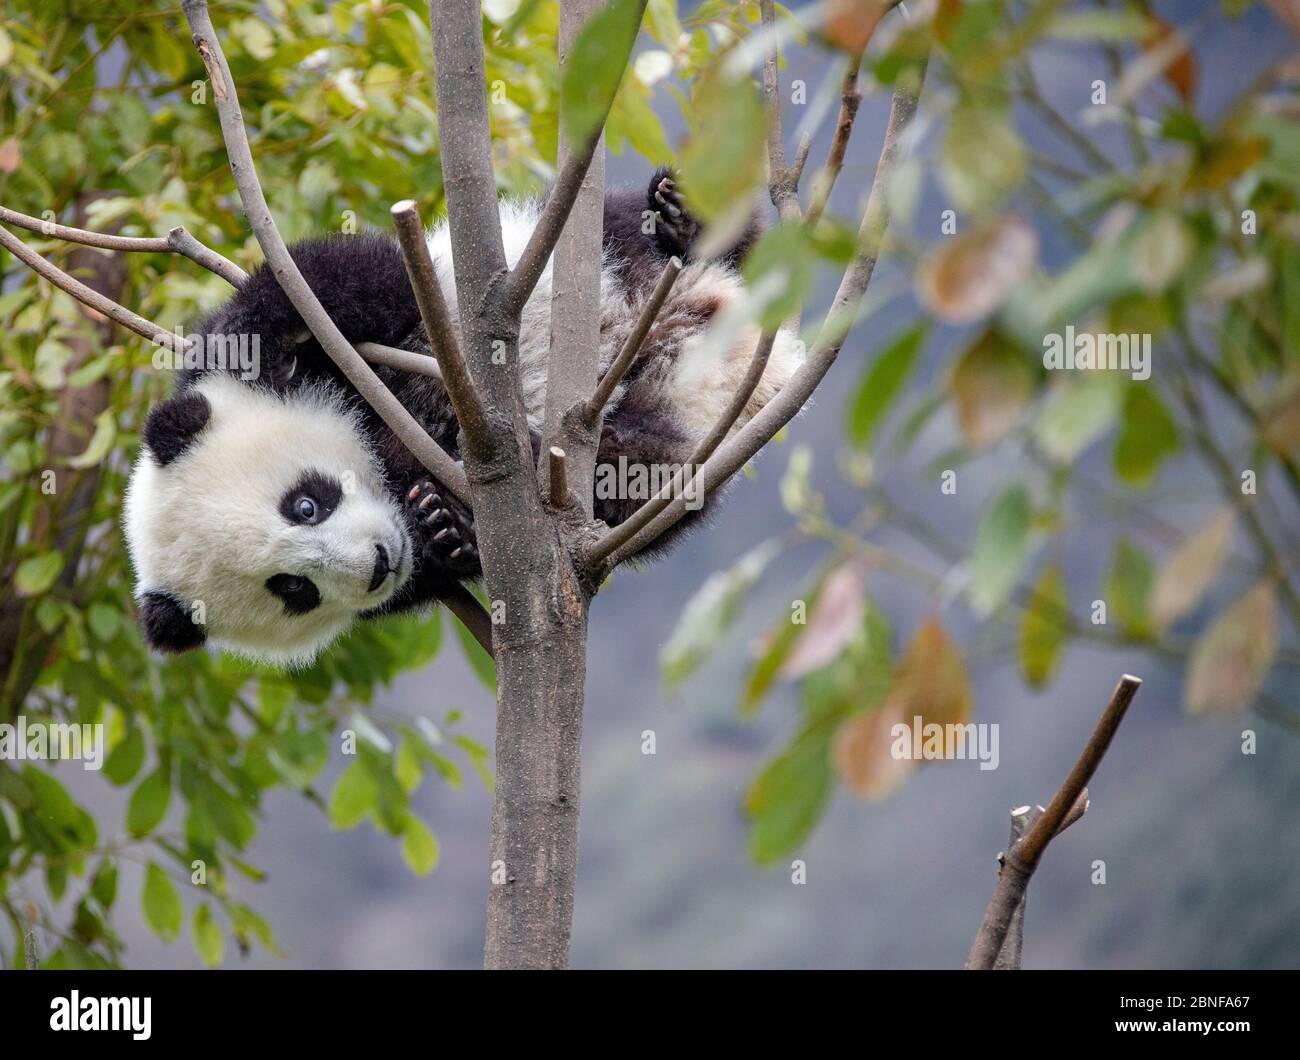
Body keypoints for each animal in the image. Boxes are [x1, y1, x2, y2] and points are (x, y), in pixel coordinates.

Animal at [123, 169, 804, 666]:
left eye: (306, 504)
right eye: (294, 589)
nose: (380, 560)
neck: (381, 454)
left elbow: (343, 282)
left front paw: (261, 340)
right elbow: (452, 562)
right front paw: (444, 527)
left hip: (607, 260)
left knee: (650, 231)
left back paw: (680, 218)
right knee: (647, 480)